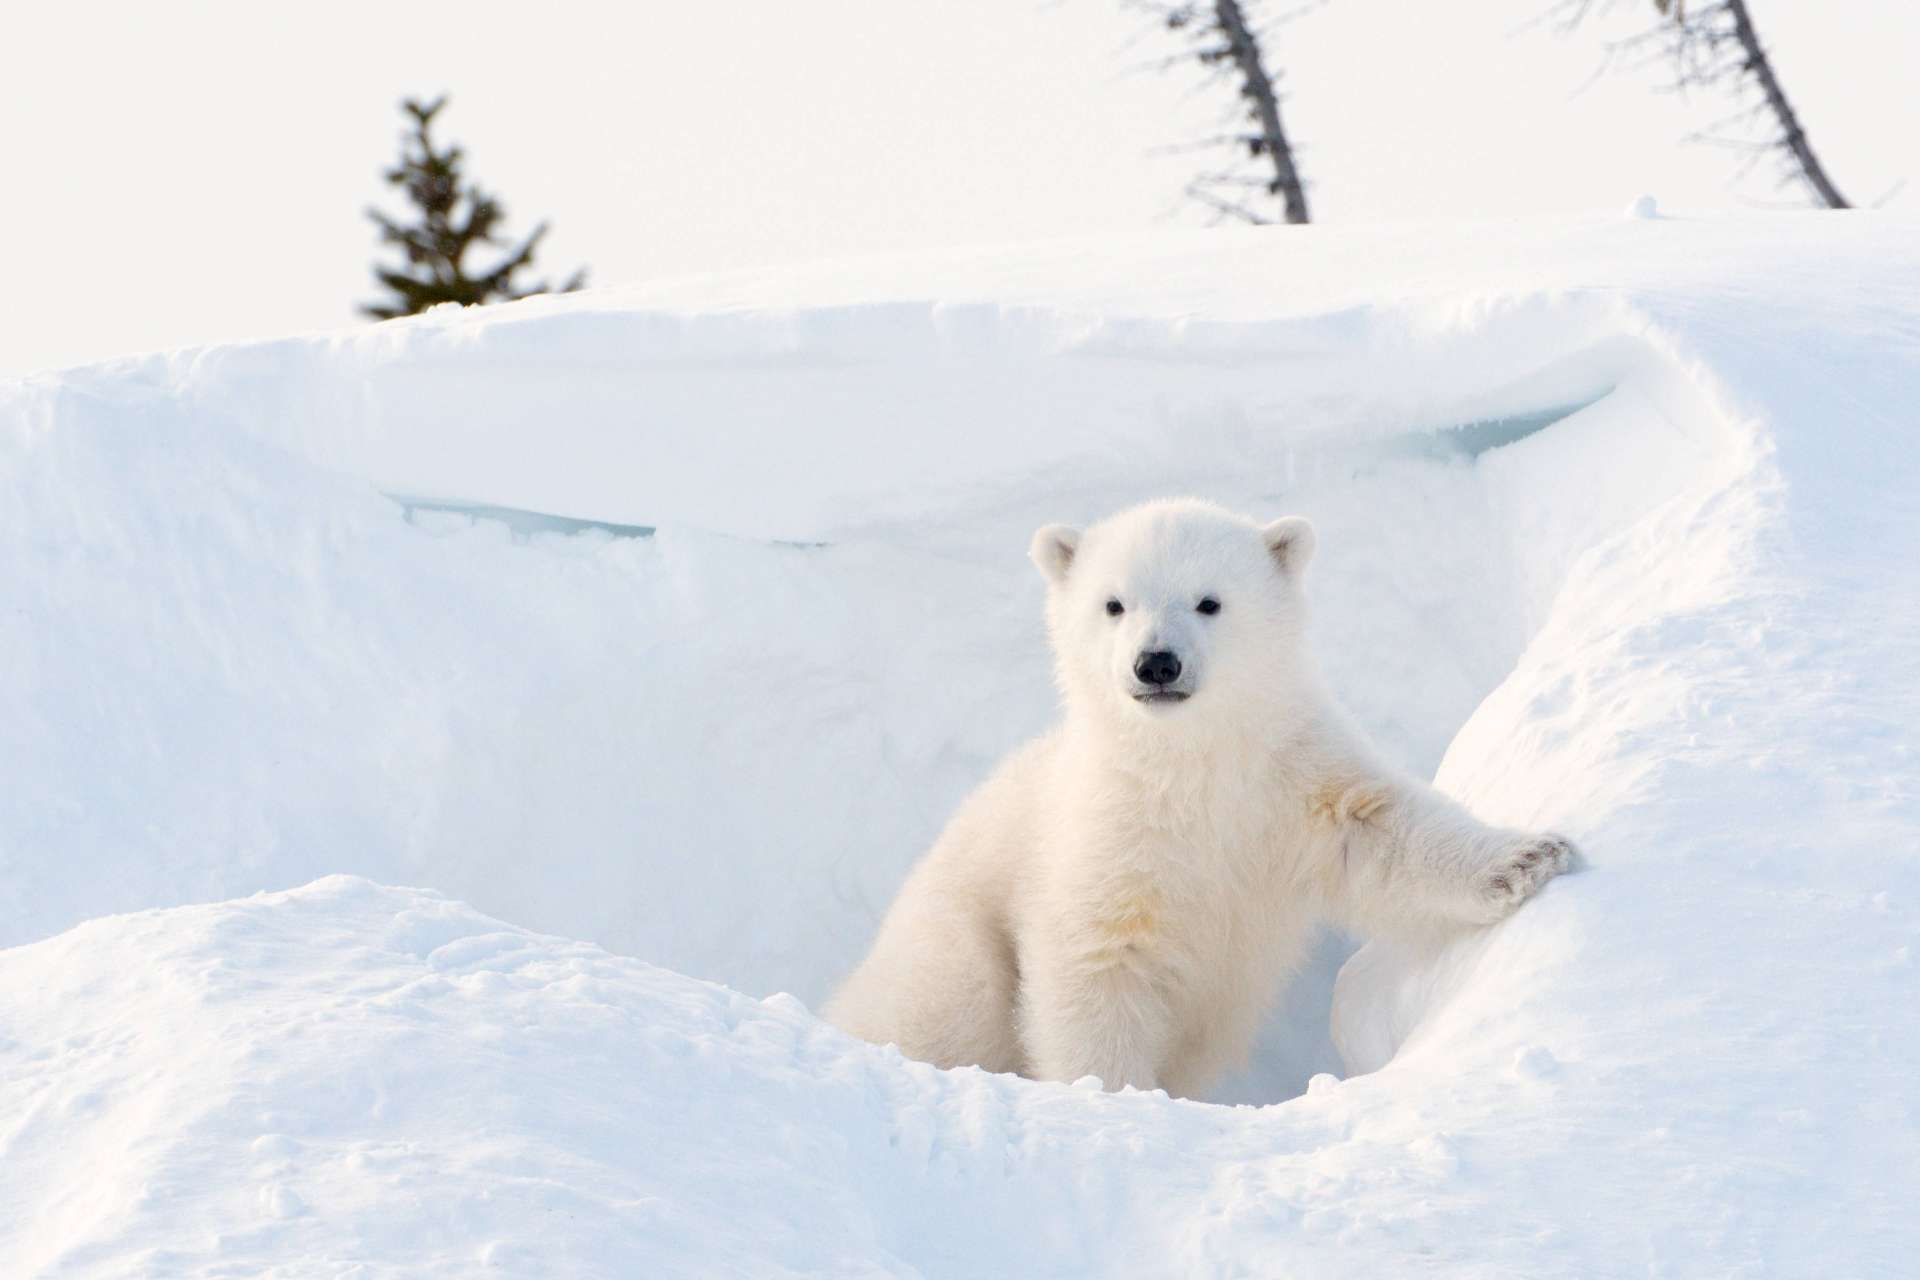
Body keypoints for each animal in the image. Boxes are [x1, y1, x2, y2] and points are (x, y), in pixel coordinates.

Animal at [824, 498, 1574, 1098]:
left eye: (1209, 601)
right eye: (1114, 603)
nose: (1156, 662)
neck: (1189, 766)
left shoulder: (1289, 777)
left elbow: (1376, 827)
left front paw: (1531, 857)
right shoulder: (1106, 837)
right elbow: (1094, 967)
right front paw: (1116, 1097)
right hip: (950, 944)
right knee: (949, 1008)